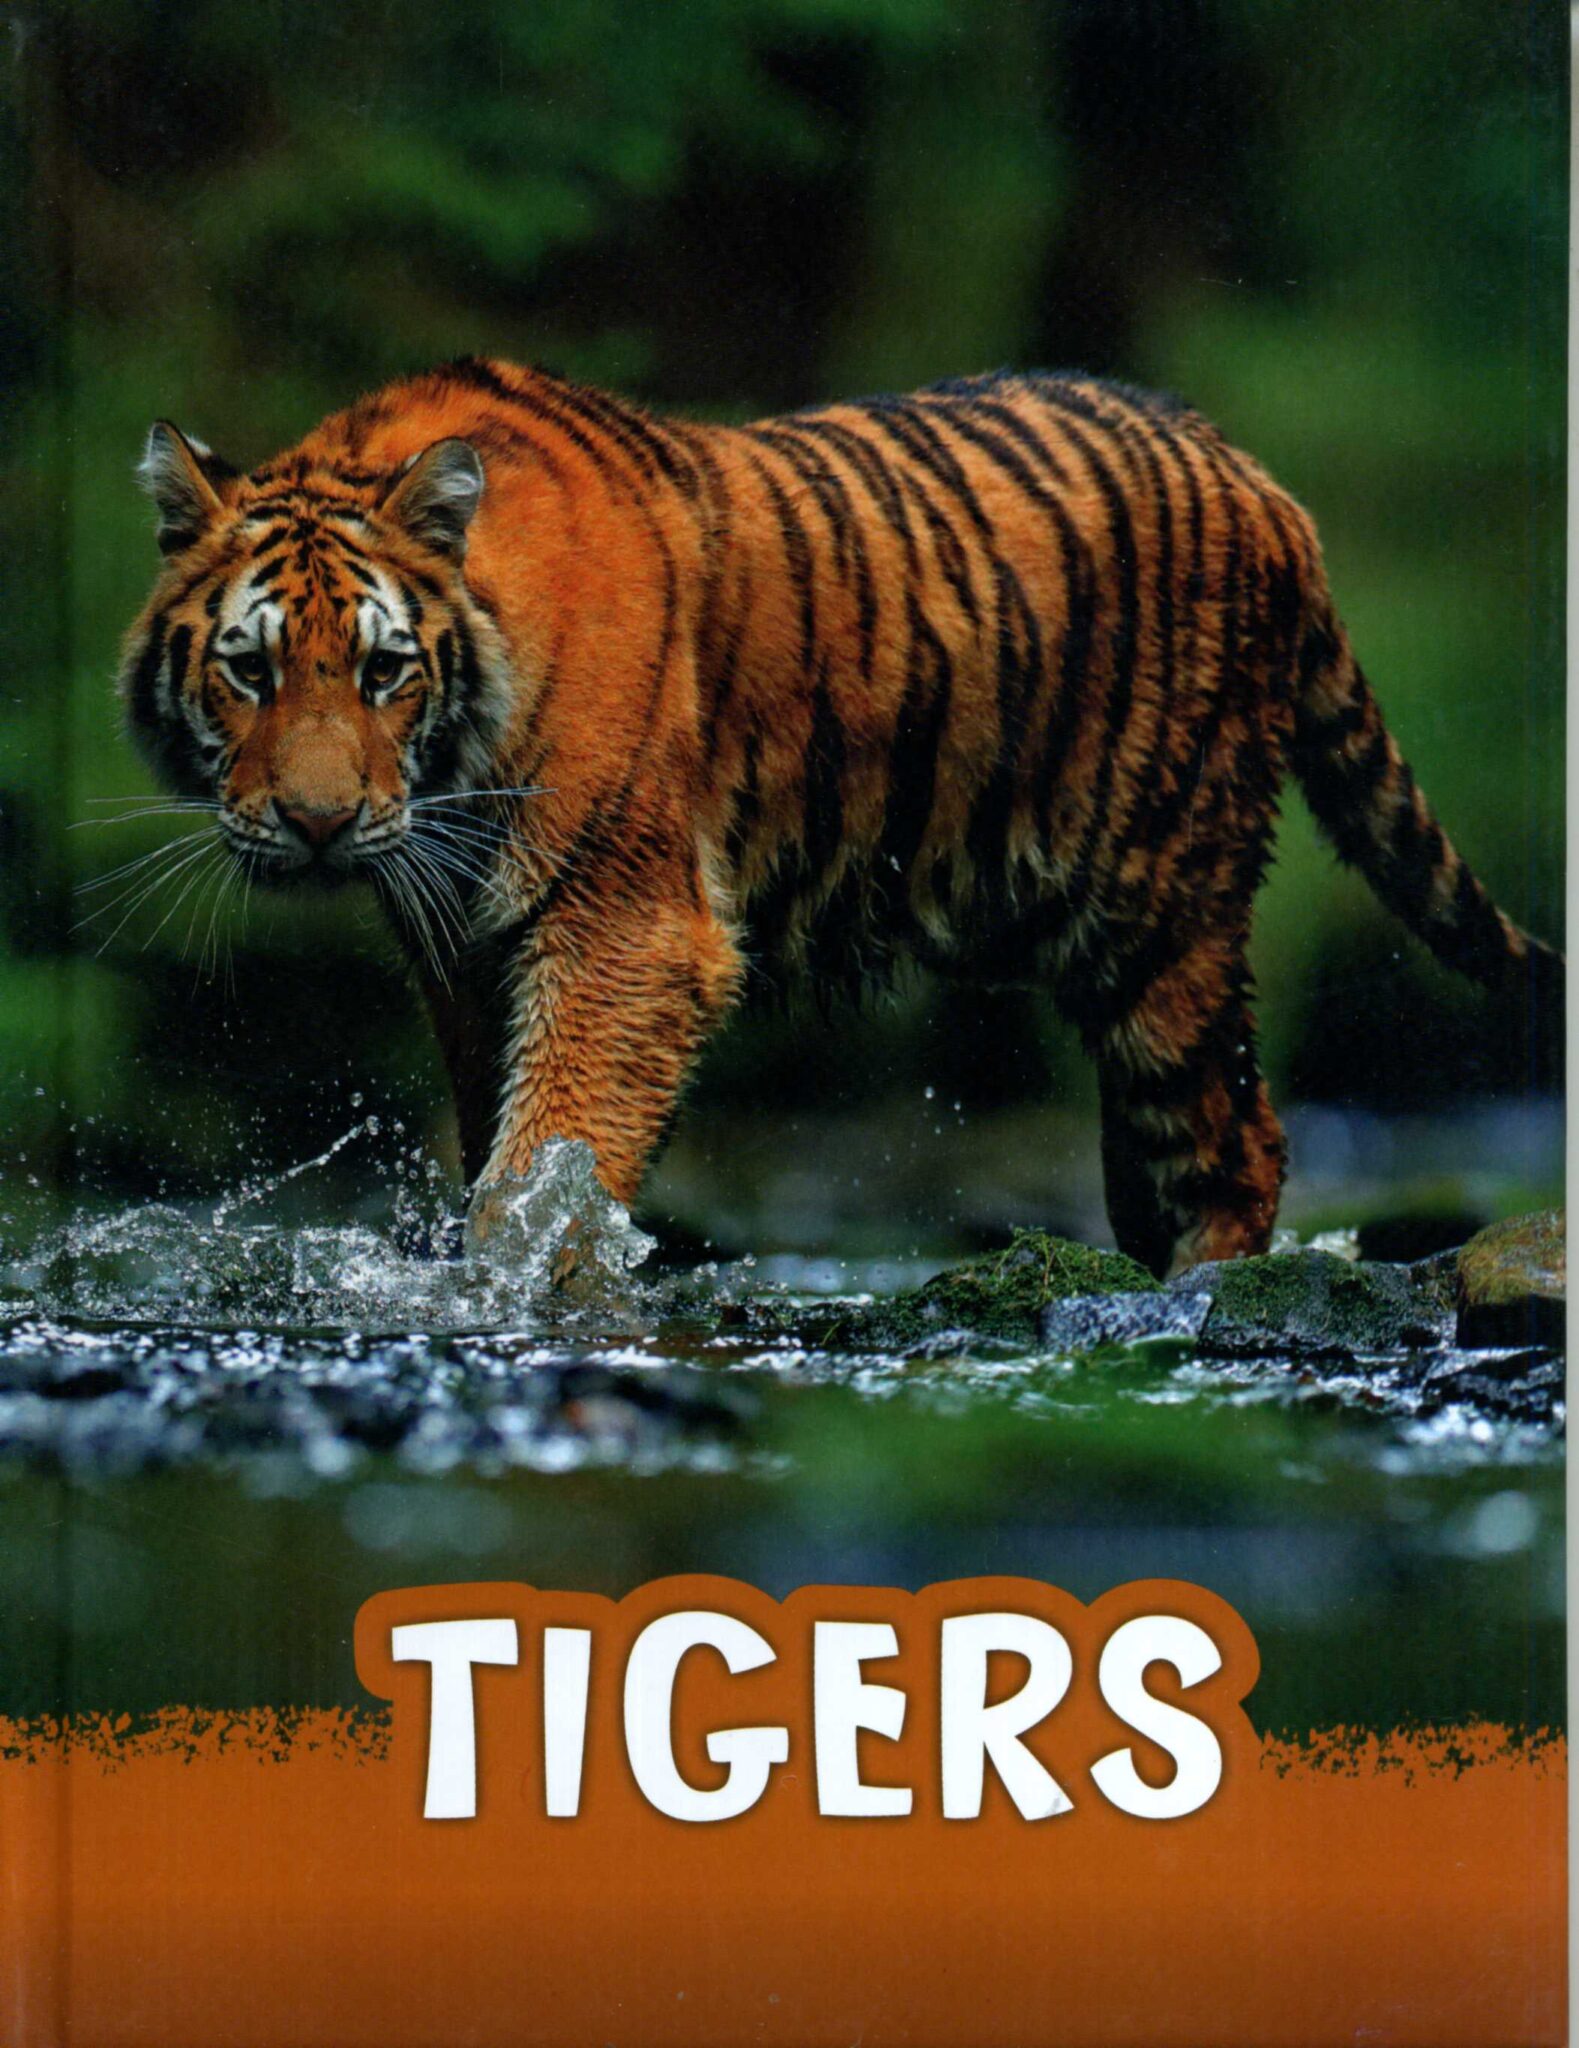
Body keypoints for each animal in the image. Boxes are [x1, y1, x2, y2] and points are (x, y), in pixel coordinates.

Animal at [117, 359, 1562, 1277]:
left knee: (1235, 1141)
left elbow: (549, 1151)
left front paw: (514, 1283)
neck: (453, 772)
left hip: (1164, 911)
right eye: (249, 668)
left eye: (380, 669)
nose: (316, 823)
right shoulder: (468, 951)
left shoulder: (627, 931)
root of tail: (1257, 478)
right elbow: (500, 1137)